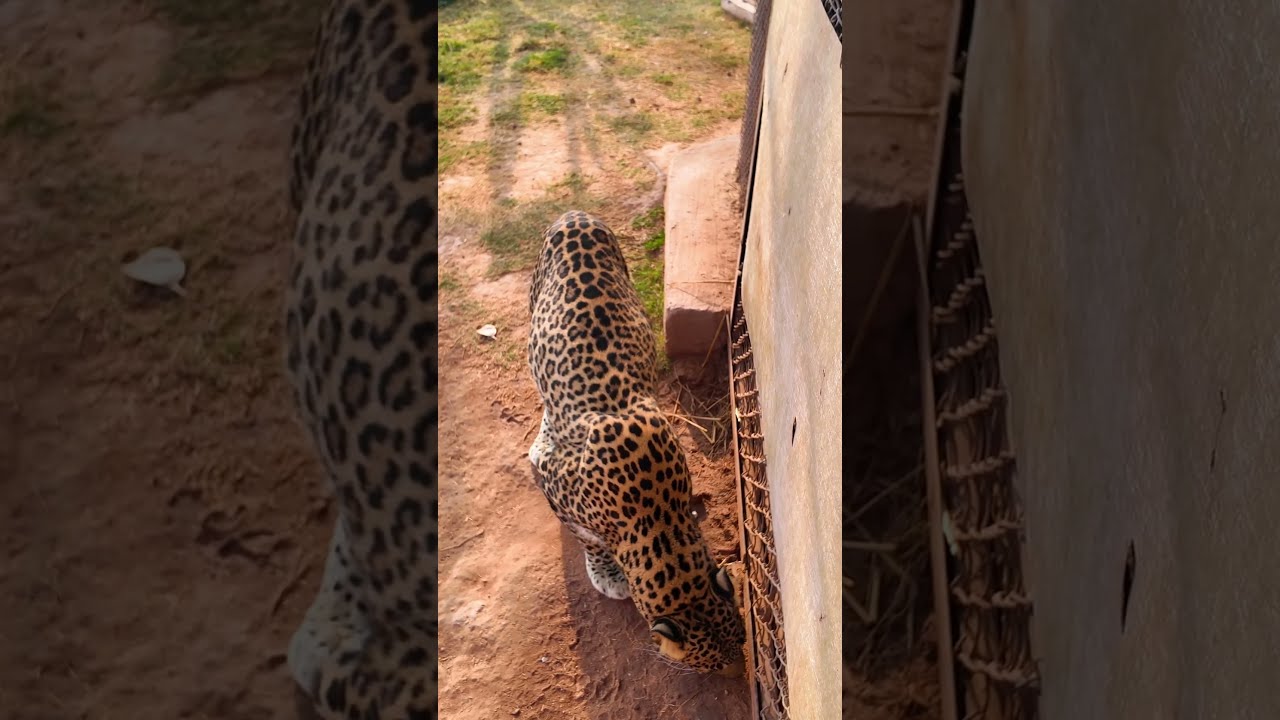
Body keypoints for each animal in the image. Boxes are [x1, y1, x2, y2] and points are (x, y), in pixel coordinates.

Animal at [527, 210, 747, 677]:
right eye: (709, 666)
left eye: (740, 641)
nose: (737, 674)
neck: (654, 512)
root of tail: (574, 214)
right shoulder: (555, 489)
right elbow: (588, 539)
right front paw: (606, 571)